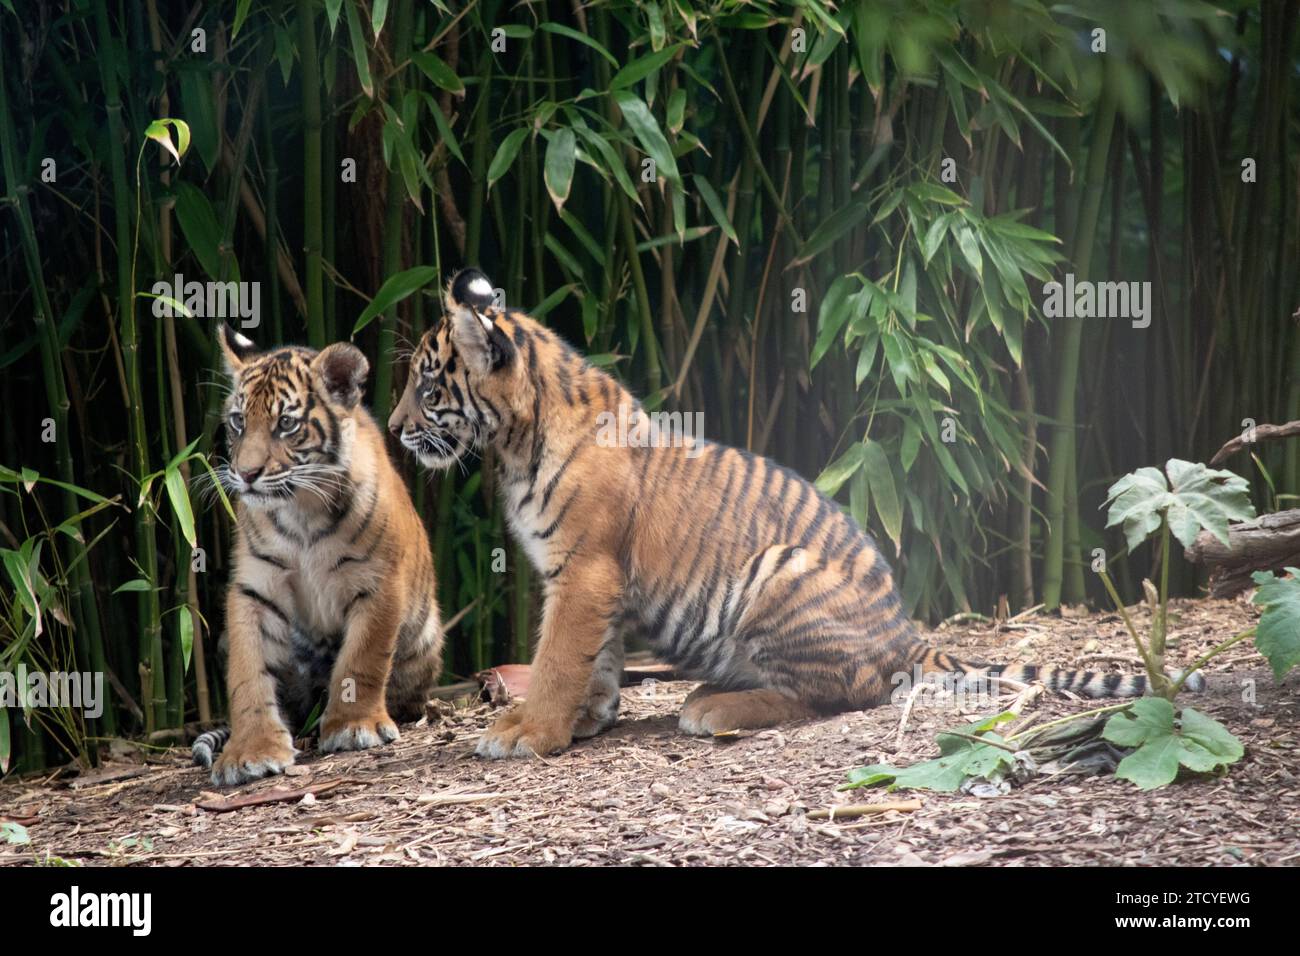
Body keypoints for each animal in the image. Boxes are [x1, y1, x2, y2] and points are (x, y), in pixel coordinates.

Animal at [193, 325, 443, 785]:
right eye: (238, 421)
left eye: (286, 424)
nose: (246, 474)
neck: (301, 510)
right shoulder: (255, 590)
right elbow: (248, 673)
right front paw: (250, 751)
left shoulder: (379, 582)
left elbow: (361, 659)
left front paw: (353, 726)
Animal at [386, 268, 1202, 759]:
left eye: (427, 386)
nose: (392, 429)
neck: (516, 439)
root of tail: (908, 635)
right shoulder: (597, 582)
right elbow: (600, 661)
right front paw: (587, 719)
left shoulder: (583, 572)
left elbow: (558, 657)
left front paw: (531, 732)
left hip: (780, 570)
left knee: (831, 696)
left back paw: (711, 707)